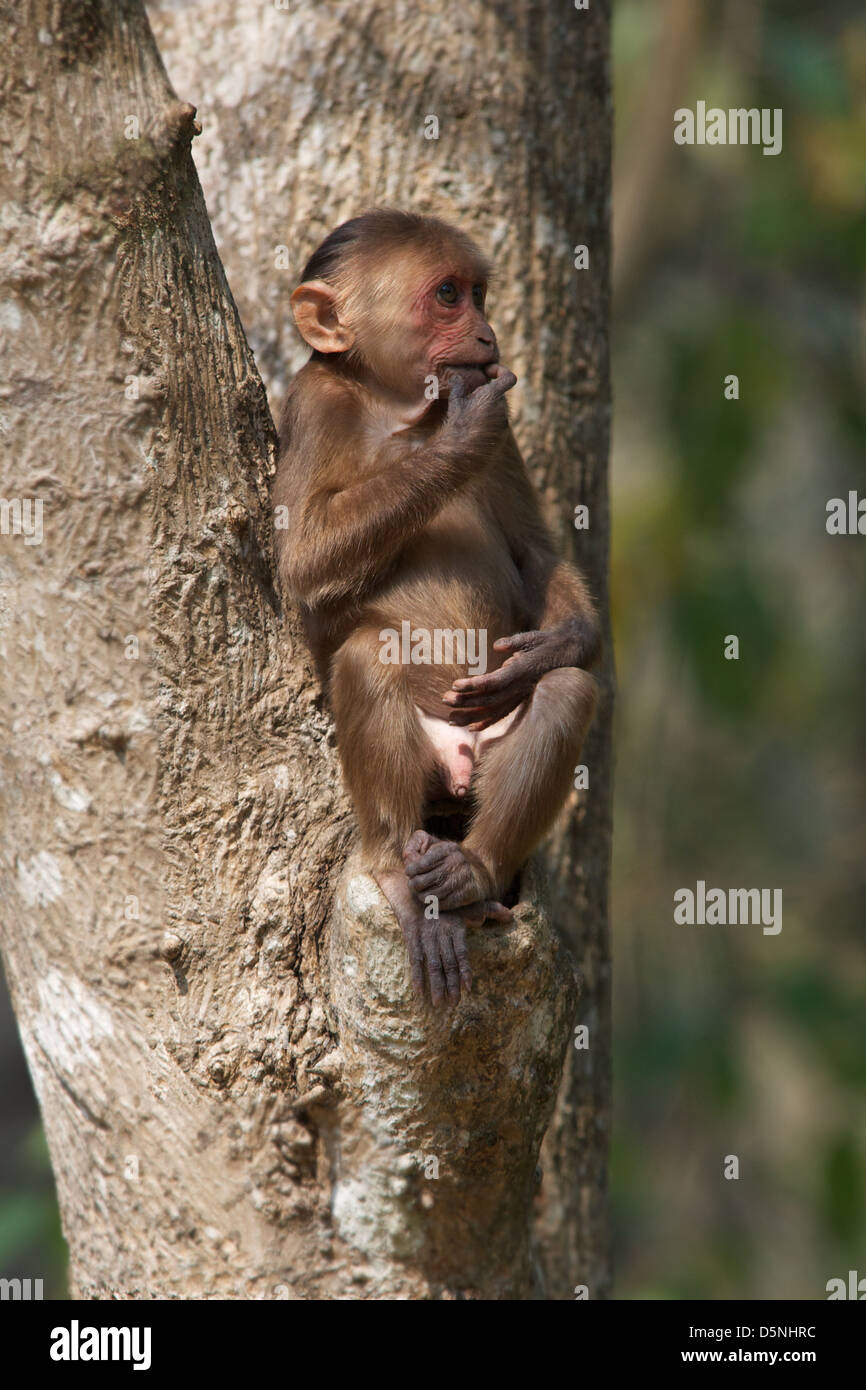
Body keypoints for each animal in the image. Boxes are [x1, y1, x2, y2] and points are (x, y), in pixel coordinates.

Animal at [272, 210, 600, 1008]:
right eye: (448, 295)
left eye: (477, 293)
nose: (485, 330)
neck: (399, 412)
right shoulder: (314, 403)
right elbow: (303, 561)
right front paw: (459, 434)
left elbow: (534, 551)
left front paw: (558, 645)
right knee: (369, 656)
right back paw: (397, 866)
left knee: (566, 695)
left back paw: (469, 872)